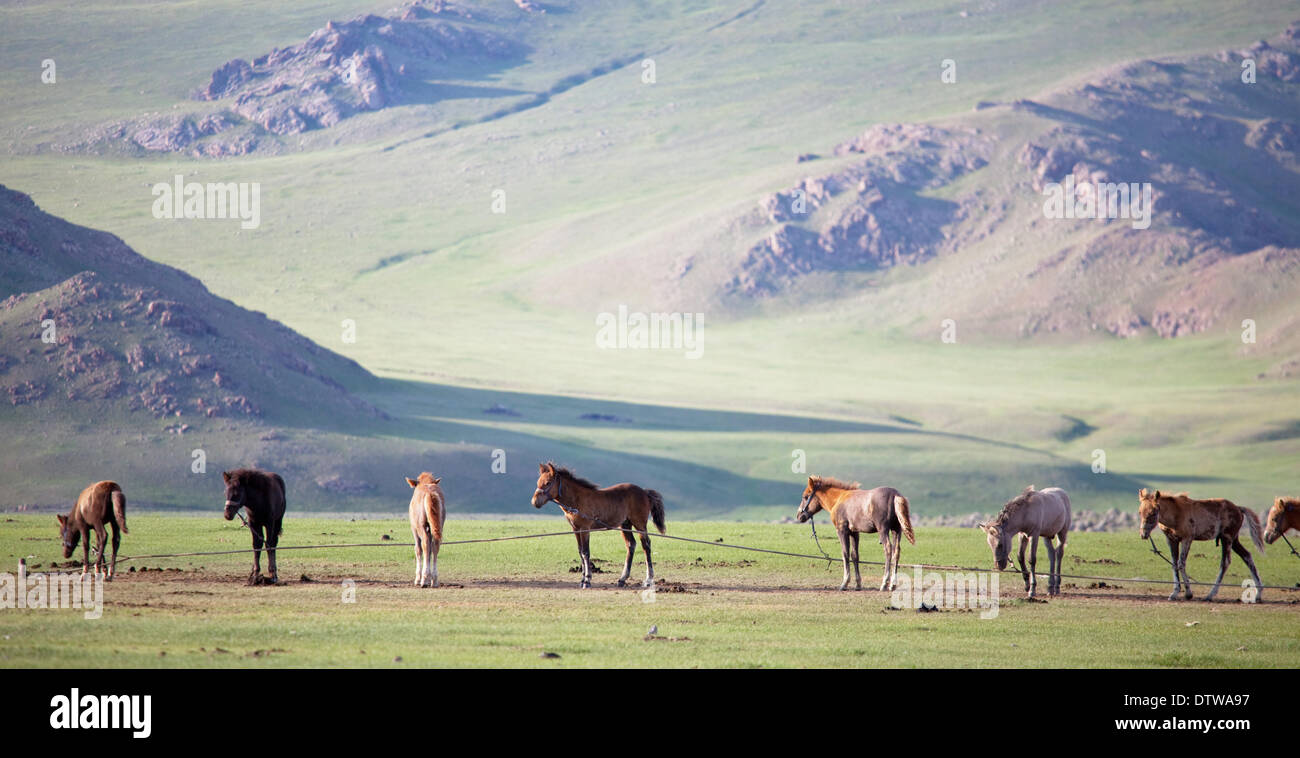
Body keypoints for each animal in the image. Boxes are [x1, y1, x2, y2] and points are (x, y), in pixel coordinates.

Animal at [530, 462, 665, 589]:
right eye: (538, 482)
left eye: (548, 483)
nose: (534, 502)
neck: (577, 500)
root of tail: (645, 492)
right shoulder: (575, 529)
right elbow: (580, 551)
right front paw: (582, 580)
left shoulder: (585, 529)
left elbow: (586, 552)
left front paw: (587, 581)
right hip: (625, 524)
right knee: (631, 545)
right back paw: (622, 579)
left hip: (640, 524)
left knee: (646, 545)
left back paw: (648, 580)